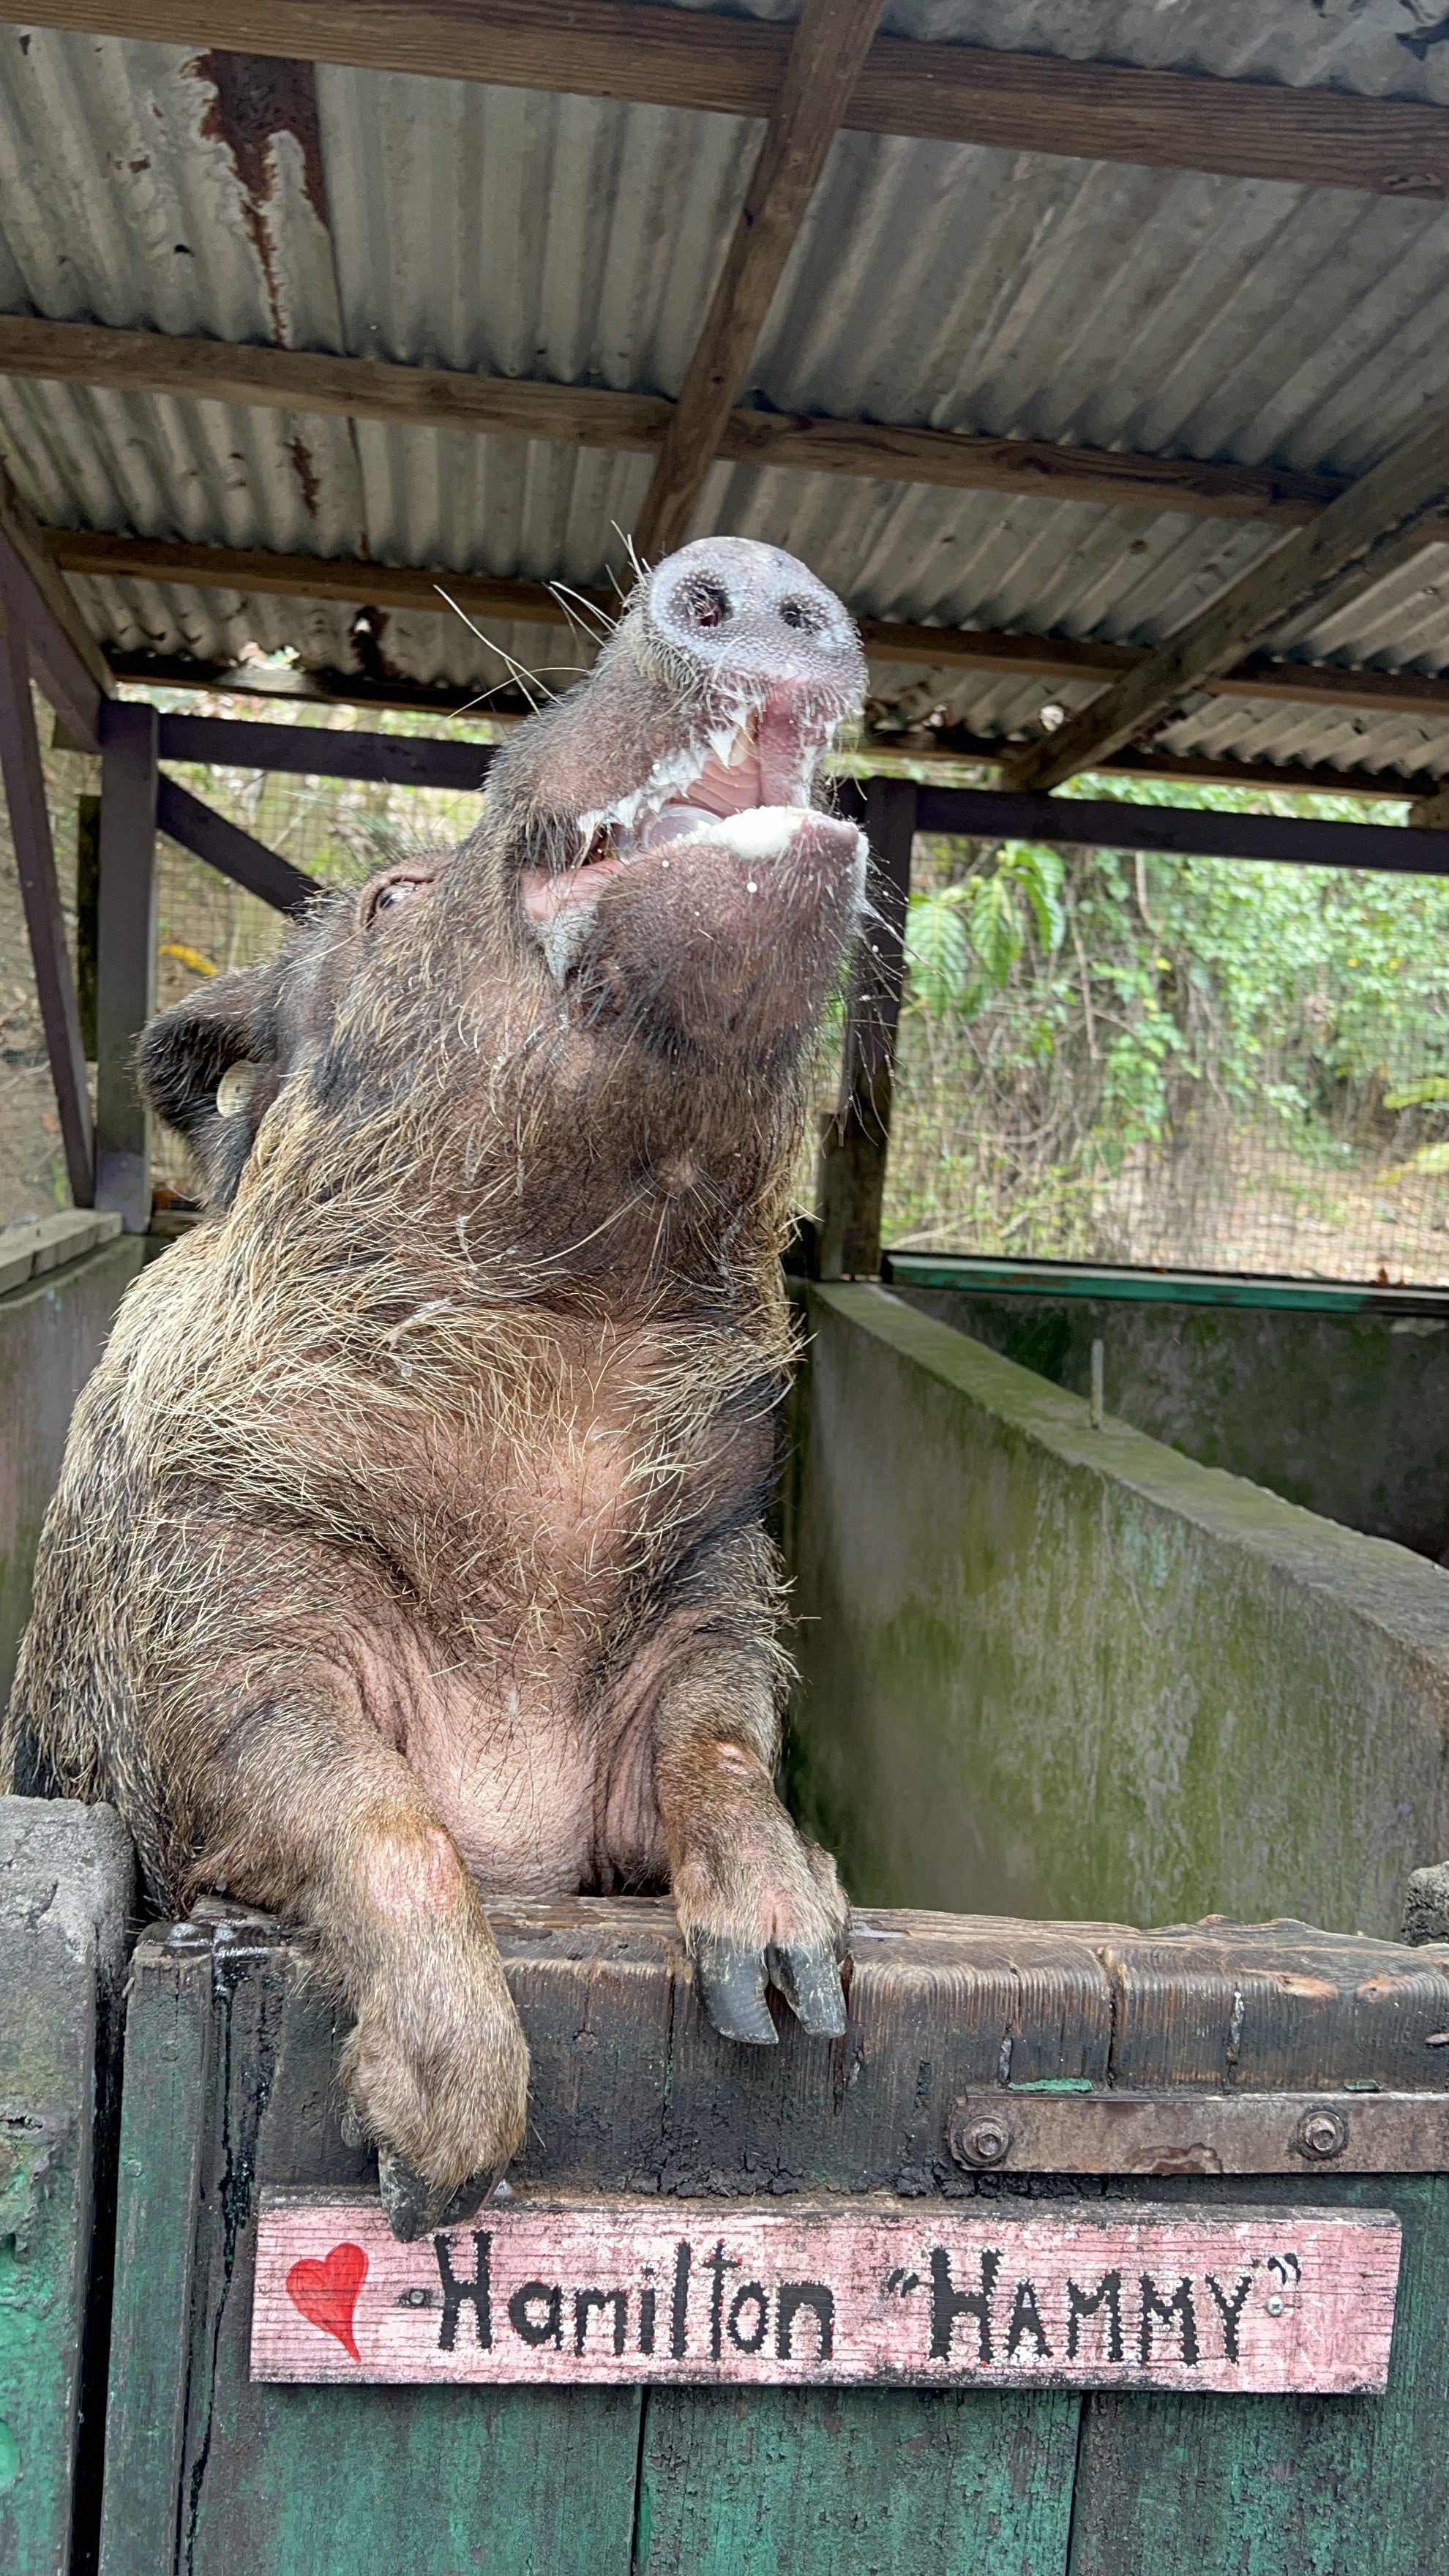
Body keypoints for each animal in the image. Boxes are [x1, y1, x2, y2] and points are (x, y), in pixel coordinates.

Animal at [2, 538, 869, 2239]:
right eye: (393, 900)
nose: (754, 568)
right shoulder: (199, 1607)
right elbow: (357, 1796)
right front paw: (433, 2174)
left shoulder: (718, 1576)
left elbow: (720, 1738)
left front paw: (794, 1987)